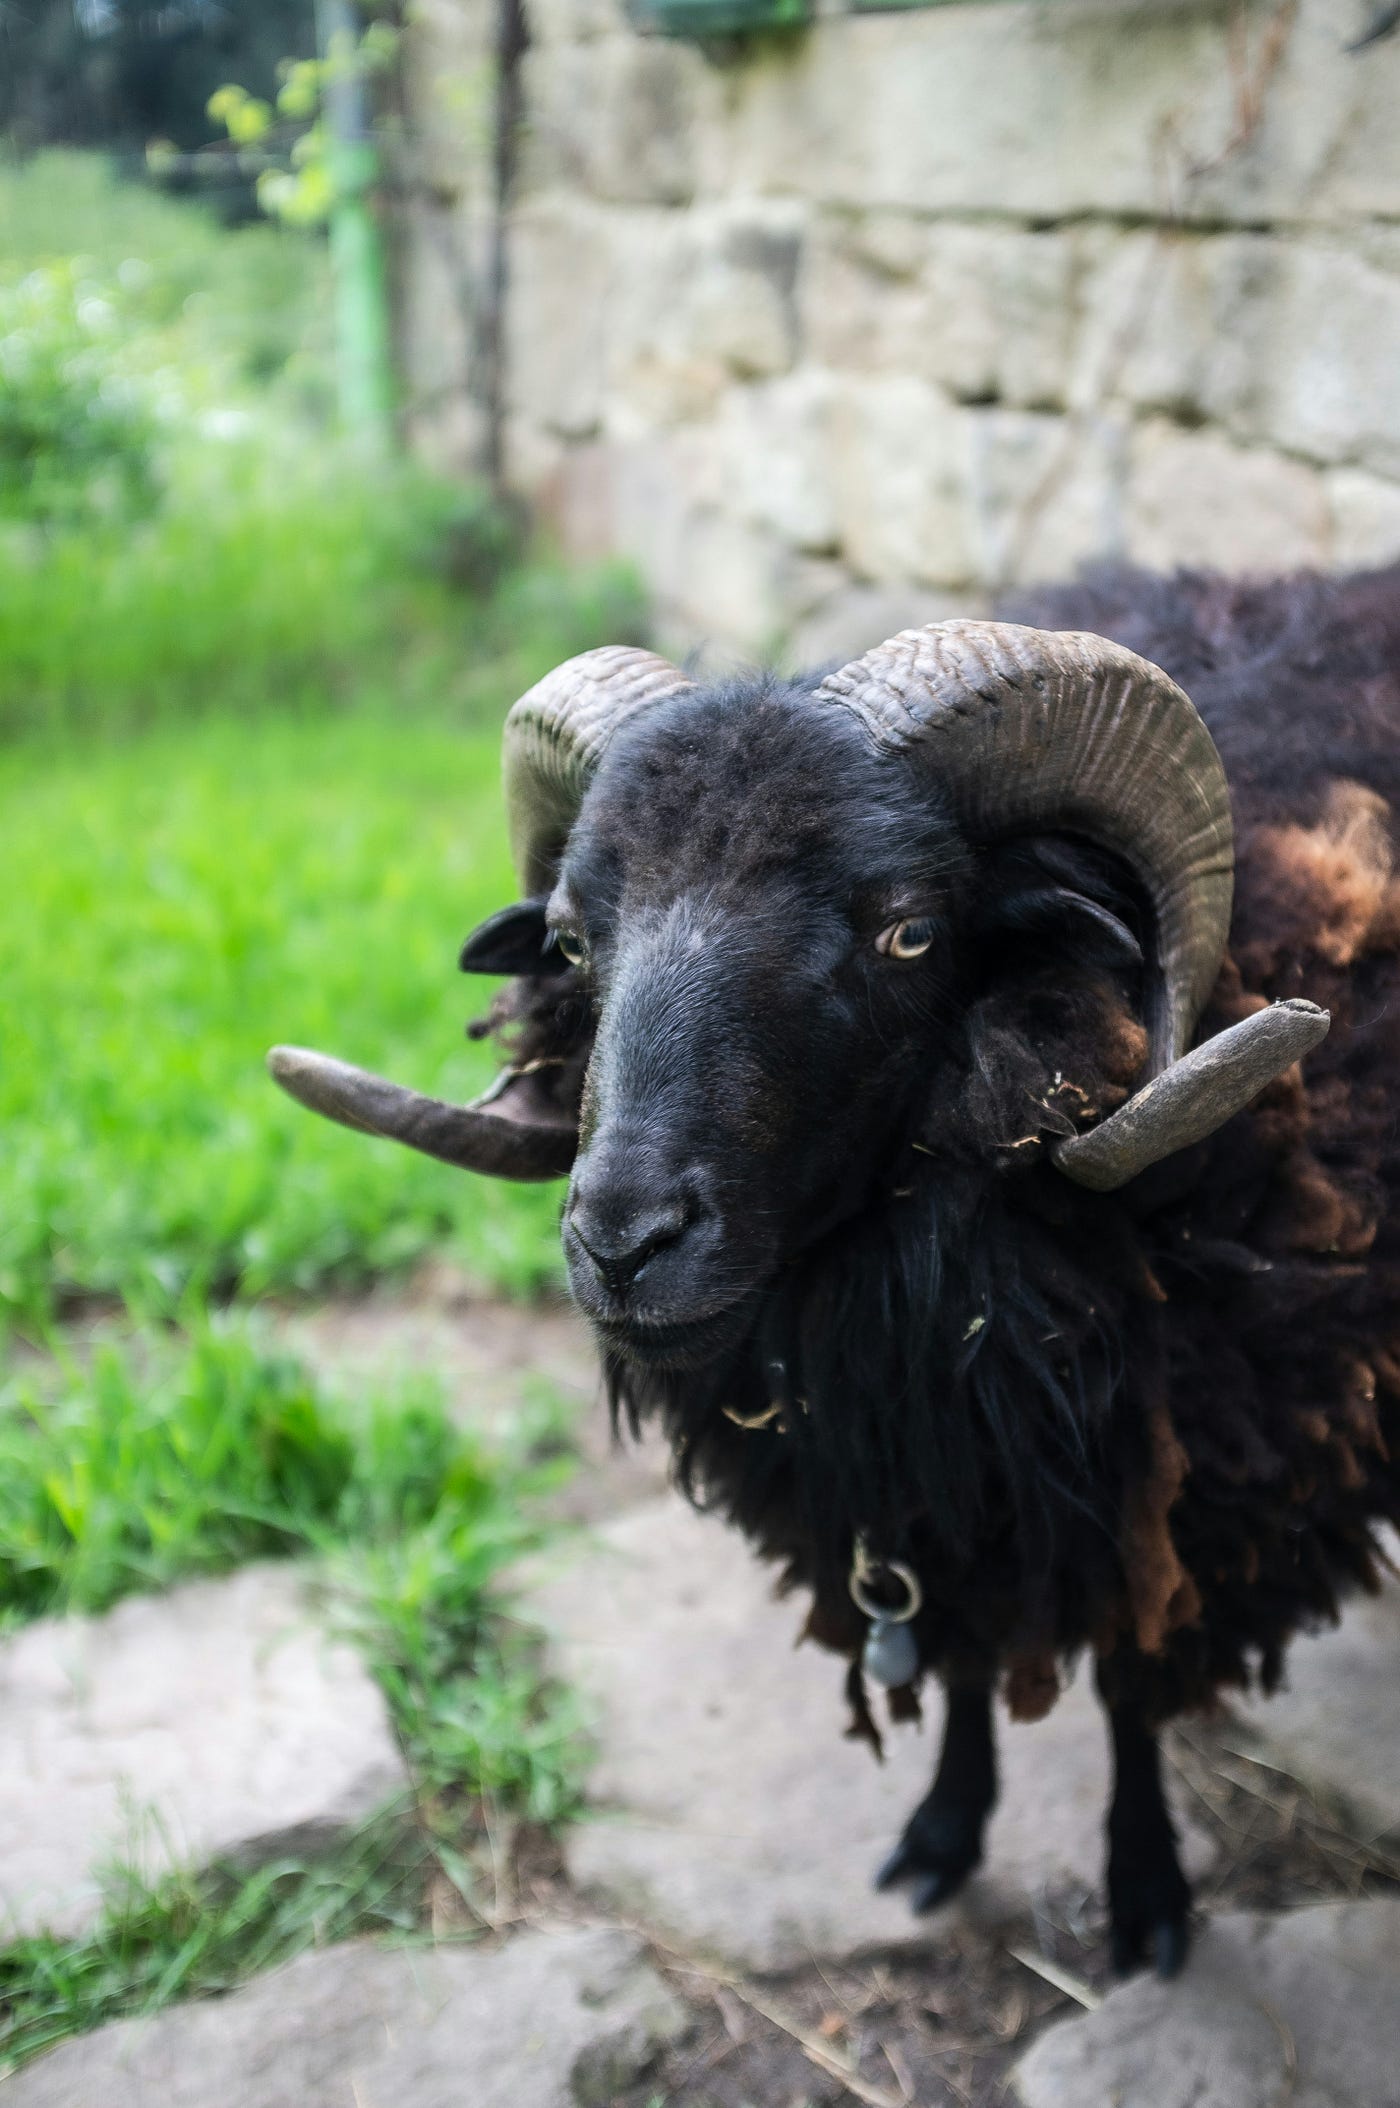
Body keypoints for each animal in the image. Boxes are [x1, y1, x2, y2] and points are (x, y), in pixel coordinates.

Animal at [268, 560, 1400, 1978]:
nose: (623, 1241)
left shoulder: (1174, 1488)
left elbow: (1133, 1687)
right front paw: (942, 1831)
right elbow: (954, 1656)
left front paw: (1143, 1889)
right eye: (574, 942)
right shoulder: (926, 1496)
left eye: (905, 933)